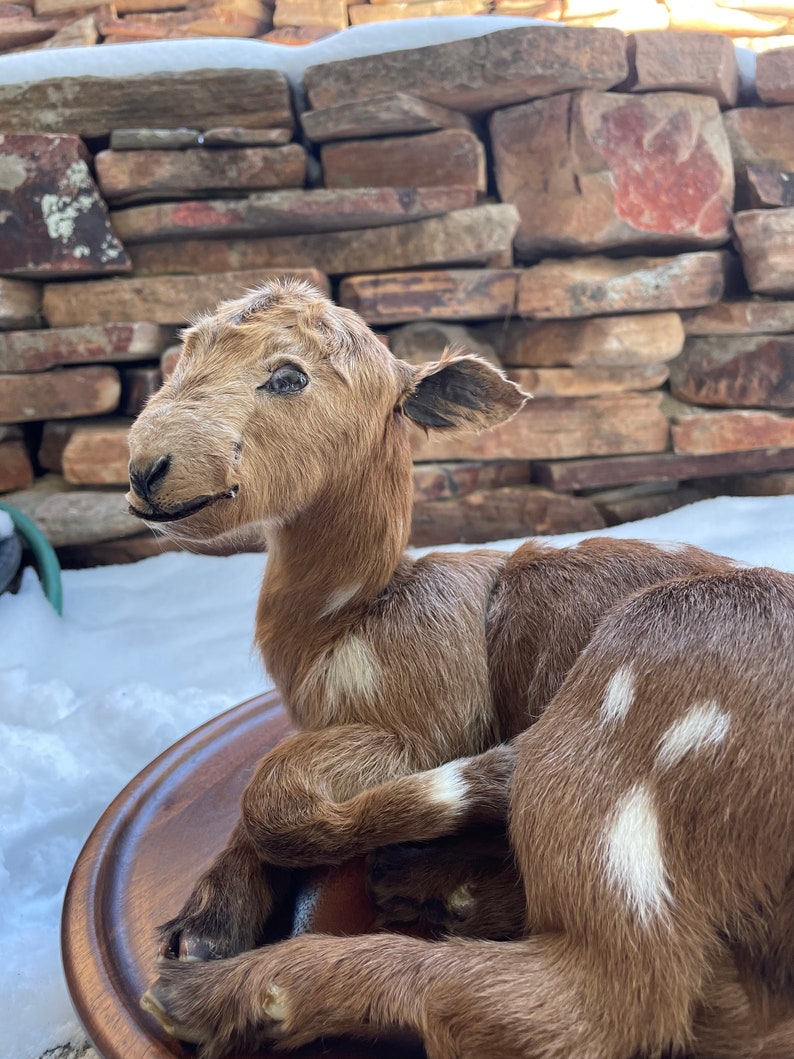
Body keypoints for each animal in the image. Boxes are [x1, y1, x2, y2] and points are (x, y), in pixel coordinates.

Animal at [126, 278, 794, 1059]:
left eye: (289, 376)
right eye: (186, 348)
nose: (146, 467)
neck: (343, 624)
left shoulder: (422, 723)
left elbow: (273, 797)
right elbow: (262, 797)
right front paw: (203, 927)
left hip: (633, 706)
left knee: (604, 998)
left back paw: (210, 995)